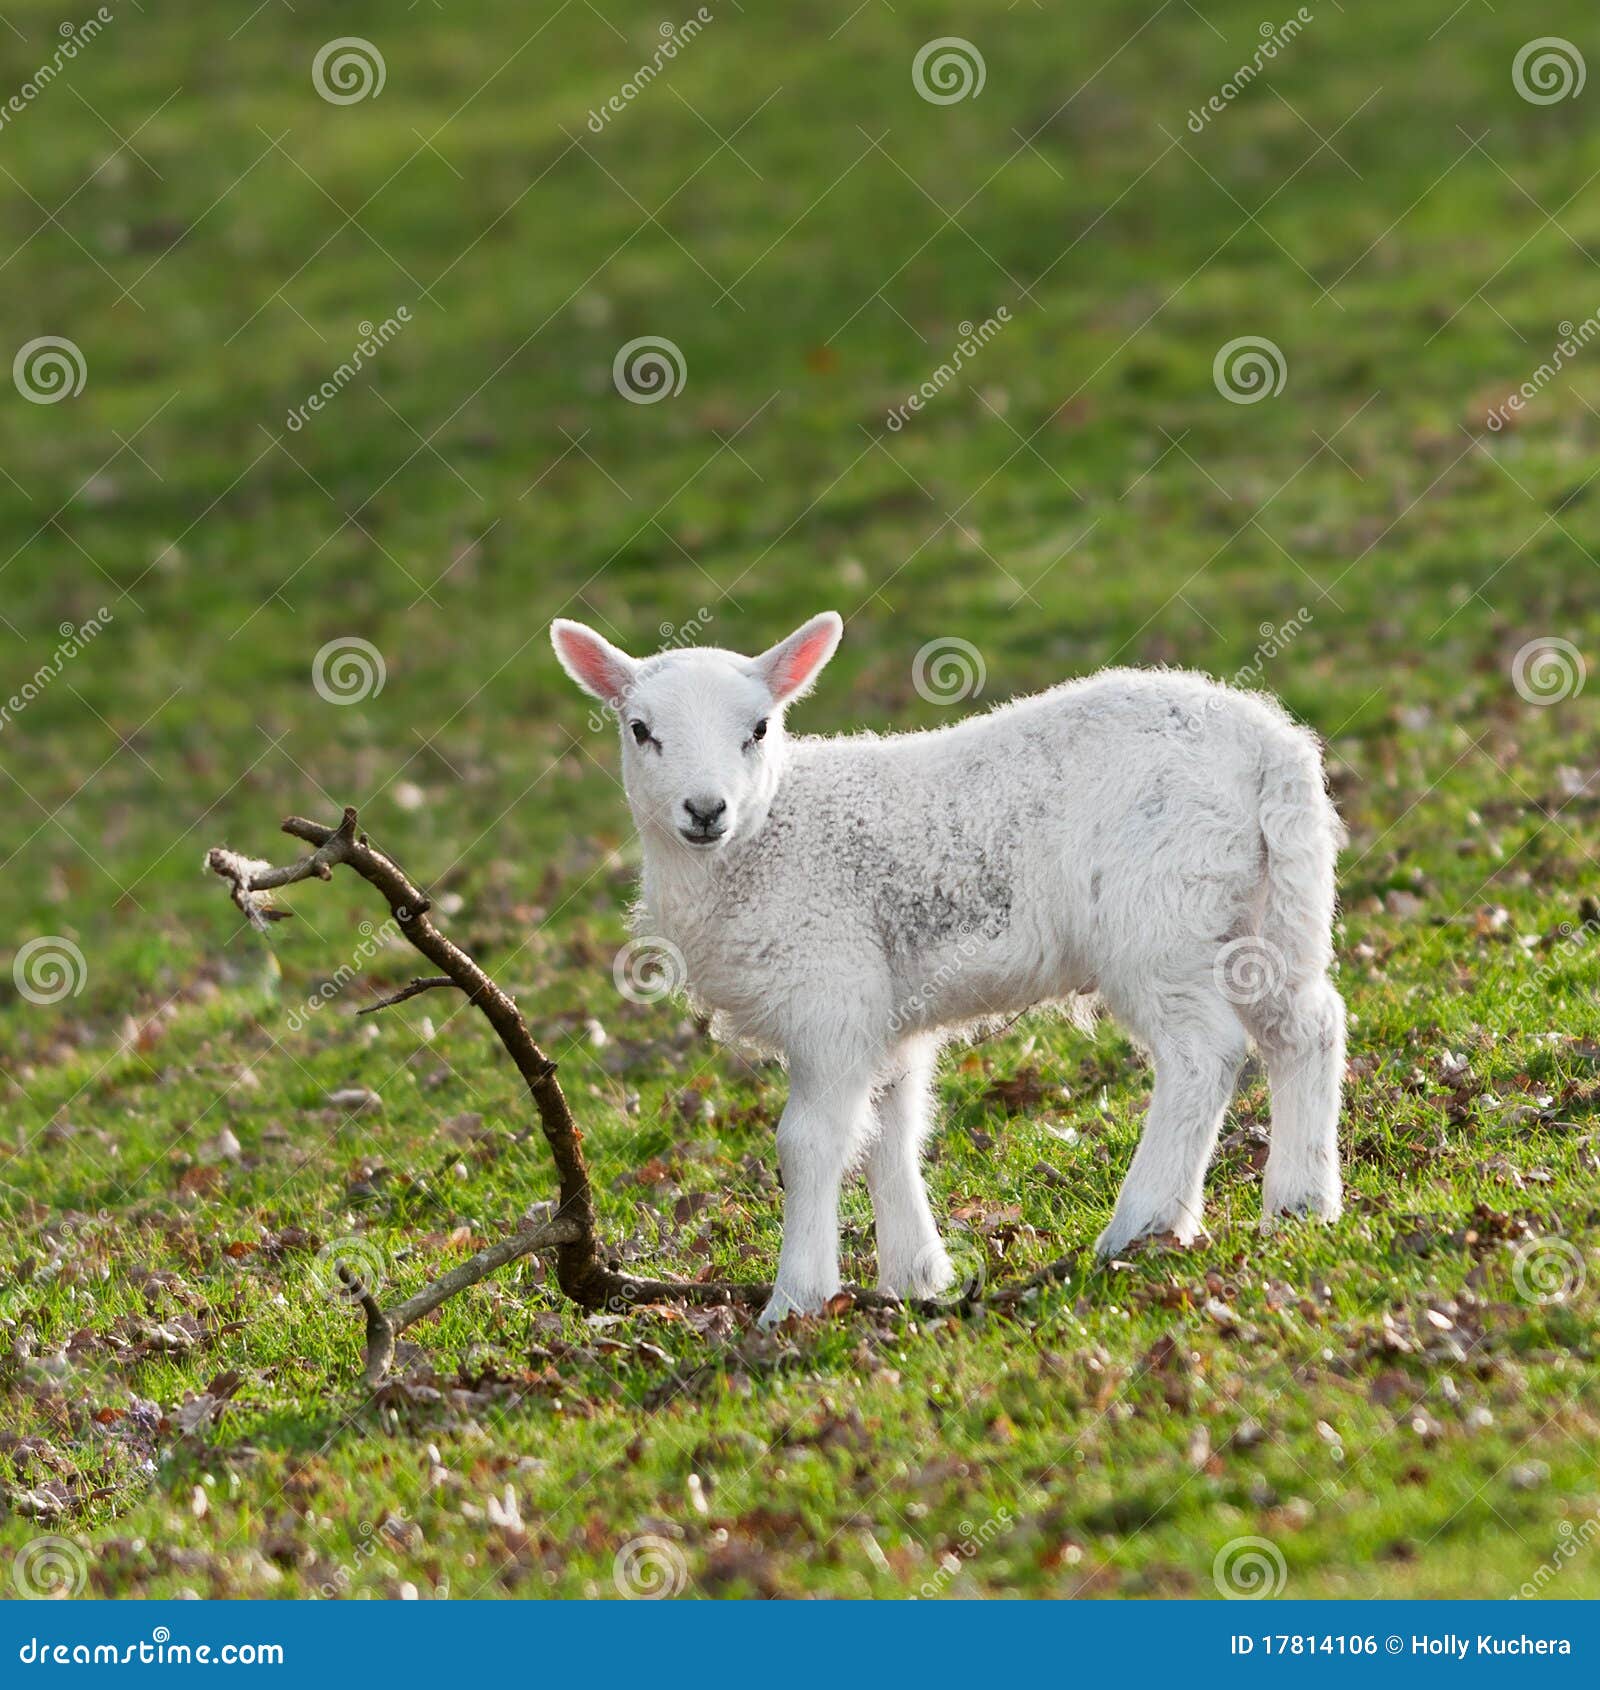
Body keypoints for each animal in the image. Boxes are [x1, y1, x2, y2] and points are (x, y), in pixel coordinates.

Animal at [551, 612, 1346, 1327]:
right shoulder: (885, 1012)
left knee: (1203, 1053)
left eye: (760, 729)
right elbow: (889, 1129)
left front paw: (795, 1301)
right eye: (640, 730)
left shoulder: (831, 993)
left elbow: (808, 1144)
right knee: (1306, 1026)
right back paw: (1300, 1203)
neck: (764, 837)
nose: (704, 809)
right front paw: (914, 1277)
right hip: (1261, 902)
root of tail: (1271, 746)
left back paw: (1142, 1226)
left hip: (1160, 910)